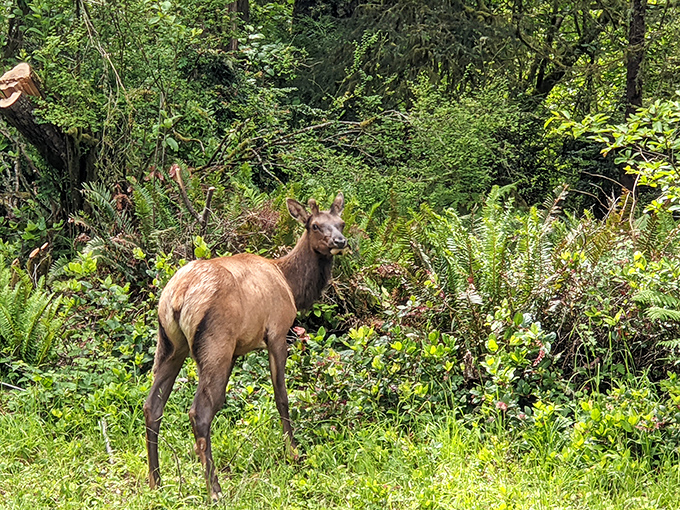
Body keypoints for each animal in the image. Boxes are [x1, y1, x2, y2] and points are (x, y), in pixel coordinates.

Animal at [143, 192, 347, 501]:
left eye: (341, 223)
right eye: (314, 225)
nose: (339, 241)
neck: (291, 285)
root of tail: (177, 296)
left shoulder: (239, 350)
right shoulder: (277, 331)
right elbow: (281, 396)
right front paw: (293, 453)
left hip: (170, 343)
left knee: (152, 405)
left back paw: (157, 482)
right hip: (215, 344)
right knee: (199, 411)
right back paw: (214, 490)